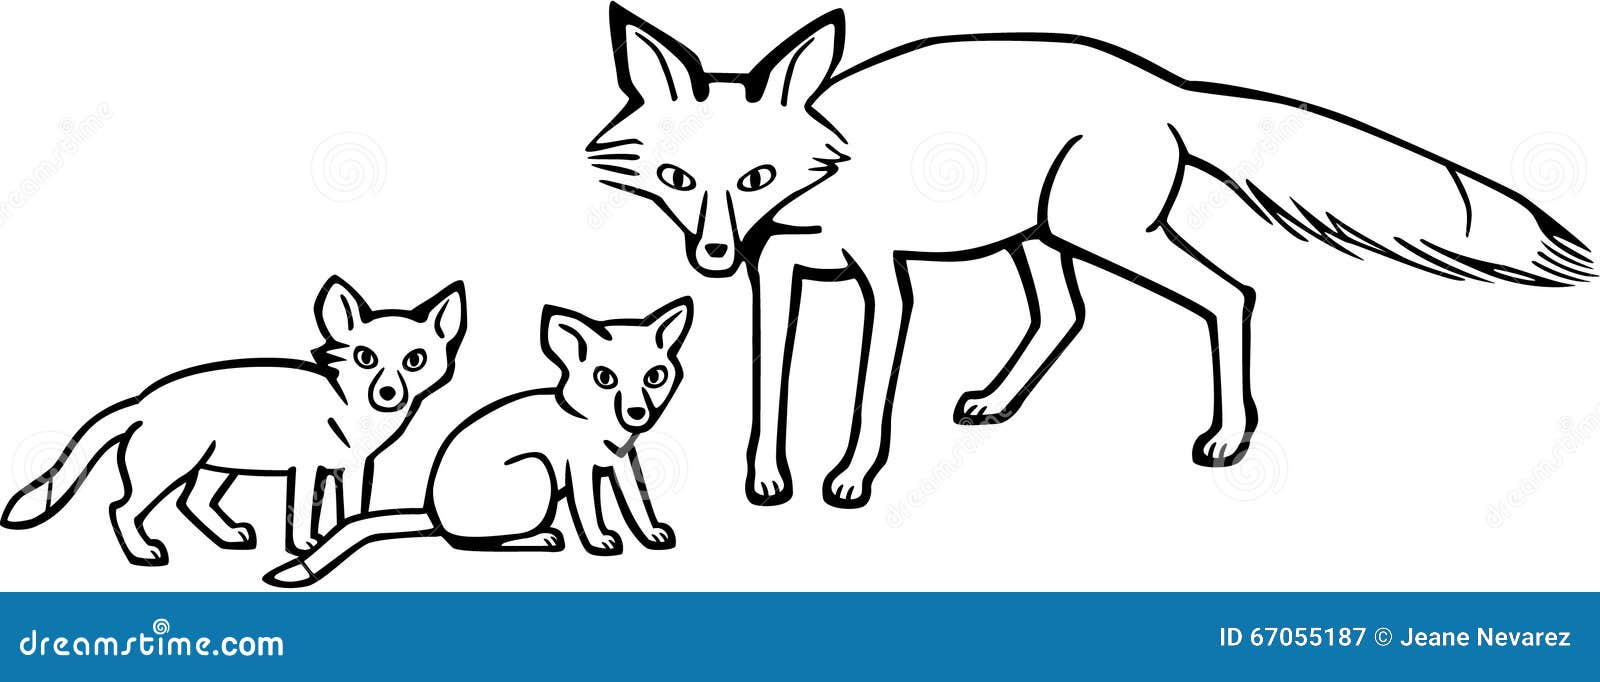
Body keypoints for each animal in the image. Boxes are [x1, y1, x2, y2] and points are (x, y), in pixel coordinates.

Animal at [1, 276, 467, 565]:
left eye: (415, 361)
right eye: (365, 358)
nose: (388, 393)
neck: (351, 410)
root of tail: (142, 401)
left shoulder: (350, 470)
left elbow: (350, 515)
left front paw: (338, 539)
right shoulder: (305, 469)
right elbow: (303, 516)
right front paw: (304, 547)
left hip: (216, 469)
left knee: (192, 504)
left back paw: (228, 536)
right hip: (168, 471)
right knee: (122, 507)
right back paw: (142, 553)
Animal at [261, 298, 693, 588]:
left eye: (655, 377)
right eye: (605, 378)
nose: (637, 414)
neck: (598, 426)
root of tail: (433, 513)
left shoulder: (623, 460)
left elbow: (637, 503)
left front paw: (651, 534)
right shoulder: (579, 467)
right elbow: (589, 509)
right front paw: (600, 540)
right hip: (537, 471)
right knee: (479, 543)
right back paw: (539, 538)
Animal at [588, 5, 1593, 509]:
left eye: (759, 175)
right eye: (679, 177)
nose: (713, 253)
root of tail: (1162, 83)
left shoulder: (888, 284)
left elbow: (868, 402)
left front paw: (849, 480)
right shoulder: (777, 282)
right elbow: (769, 393)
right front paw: (766, 481)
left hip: (1105, 235)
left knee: (1232, 294)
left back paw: (1228, 438)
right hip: (1040, 239)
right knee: (1067, 314)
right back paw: (995, 401)